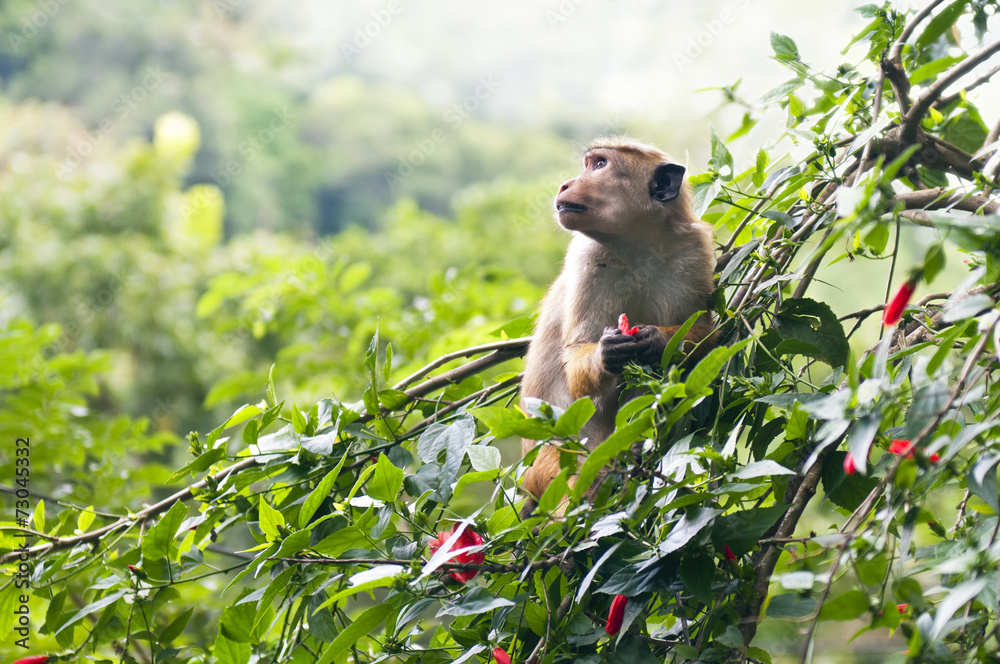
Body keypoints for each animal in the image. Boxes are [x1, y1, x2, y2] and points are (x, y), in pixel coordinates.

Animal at [519, 137, 717, 515]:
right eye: (590, 164)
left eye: (600, 165)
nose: (565, 184)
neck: (636, 245)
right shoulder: (586, 258)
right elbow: (574, 357)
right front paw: (607, 353)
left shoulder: (693, 249)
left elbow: (705, 332)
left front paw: (655, 340)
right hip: (550, 463)